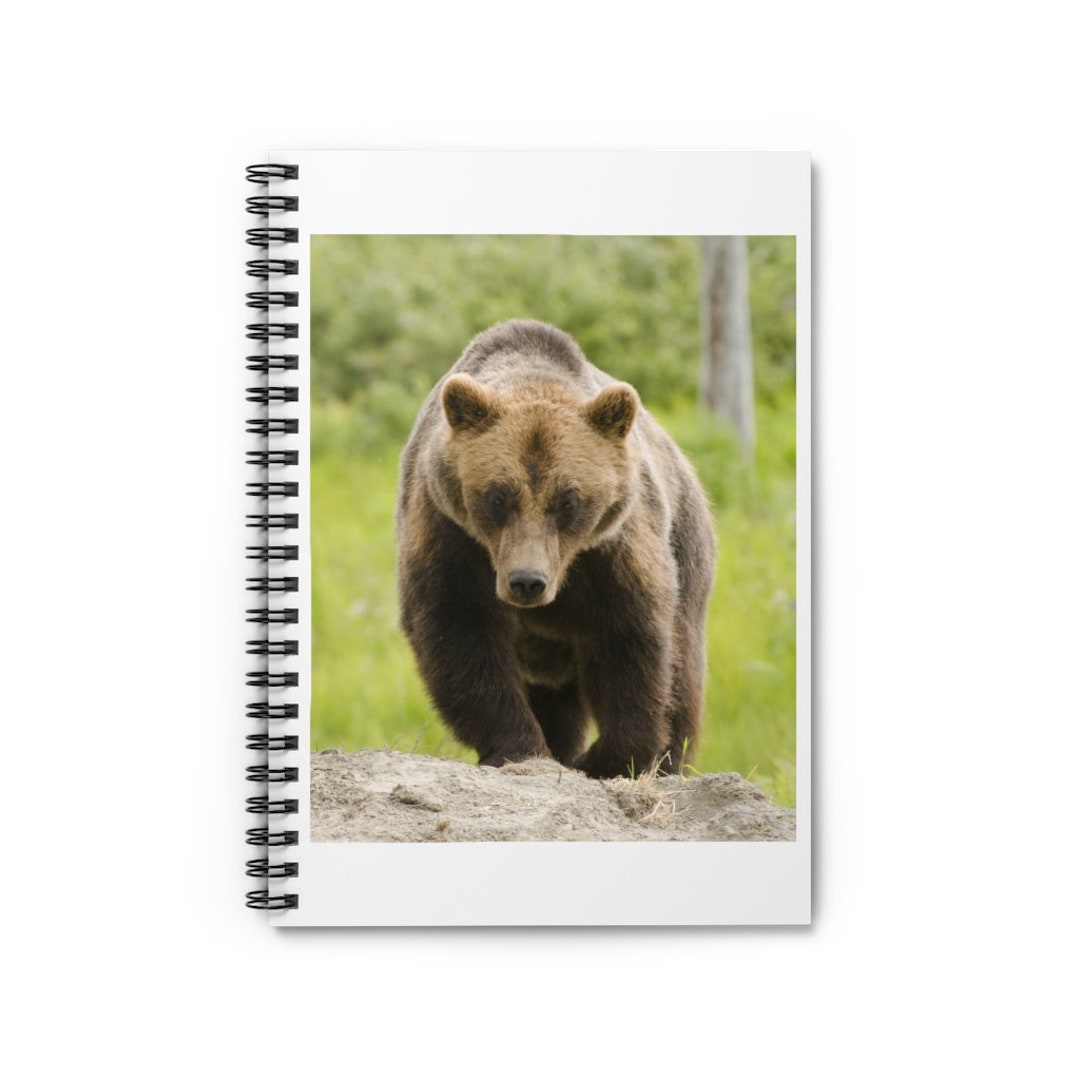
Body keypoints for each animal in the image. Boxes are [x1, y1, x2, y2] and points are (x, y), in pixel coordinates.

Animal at [395, 319, 716, 779]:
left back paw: (669, 762)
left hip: (687, 548)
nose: (527, 582)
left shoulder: (610, 552)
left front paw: (612, 759)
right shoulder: (450, 536)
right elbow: (460, 632)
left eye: (568, 501)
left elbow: (631, 642)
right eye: (498, 497)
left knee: (684, 670)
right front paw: (519, 747)